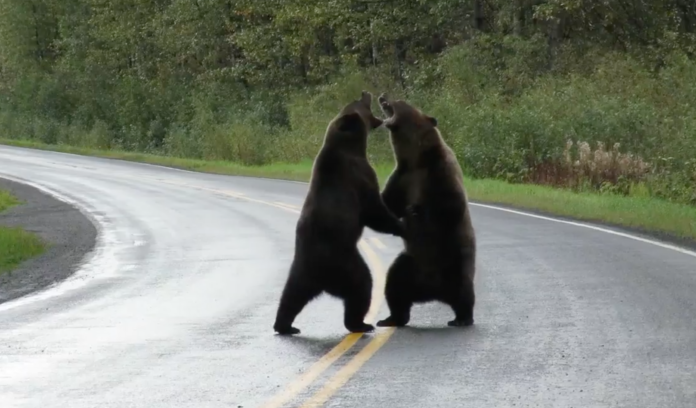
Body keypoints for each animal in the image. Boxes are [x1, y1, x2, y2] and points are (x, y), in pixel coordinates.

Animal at [273, 91, 406, 336]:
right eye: (359, 102)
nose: (365, 92)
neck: (351, 146)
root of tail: (320, 279)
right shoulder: (359, 176)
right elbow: (374, 211)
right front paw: (400, 225)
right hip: (346, 263)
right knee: (362, 287)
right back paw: (361, 323)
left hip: (299, 272)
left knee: (290, 297)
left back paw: (285, 325)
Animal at [374, 93, 477, 328]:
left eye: (401, 100)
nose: (383, 95)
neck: (417, 159)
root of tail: (433, 292)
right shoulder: (402, 178)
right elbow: (386, 204)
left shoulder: (440, 172)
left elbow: (451, 206)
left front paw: (415, 210)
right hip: (411, 265)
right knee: (395, 285)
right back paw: (391, 318)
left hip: (455, 262)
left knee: (464, 291)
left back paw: (462, 318)